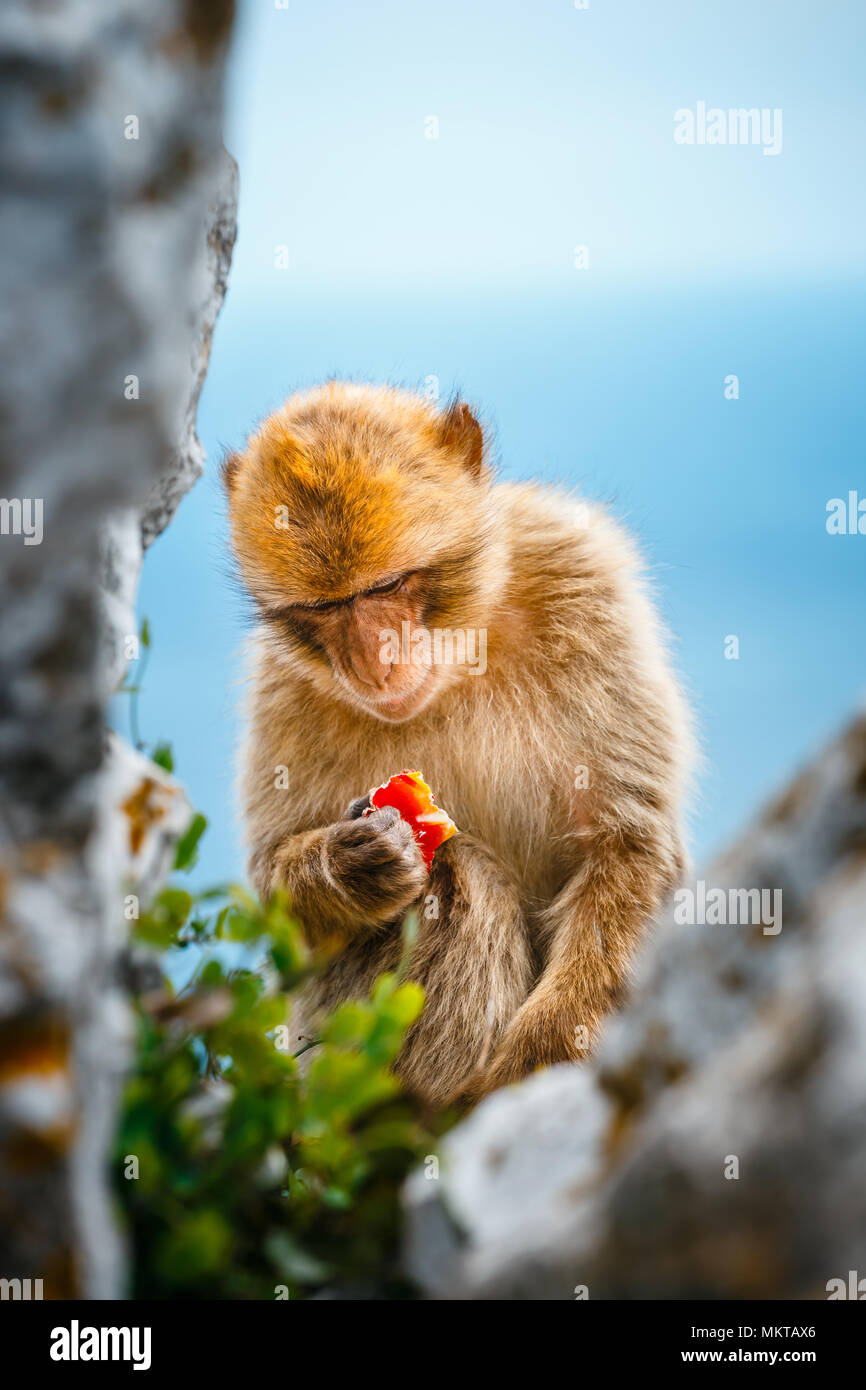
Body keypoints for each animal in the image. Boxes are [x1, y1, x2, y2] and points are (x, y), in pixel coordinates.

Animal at [223, 381, 693, 1107]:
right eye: (324, 610)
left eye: (386, 586)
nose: (374, 664)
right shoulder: (281, 683)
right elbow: (280, 908)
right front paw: (350, 864)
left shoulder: (580, 575)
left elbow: (626, 846)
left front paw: (532, 1065)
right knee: (457, 867)